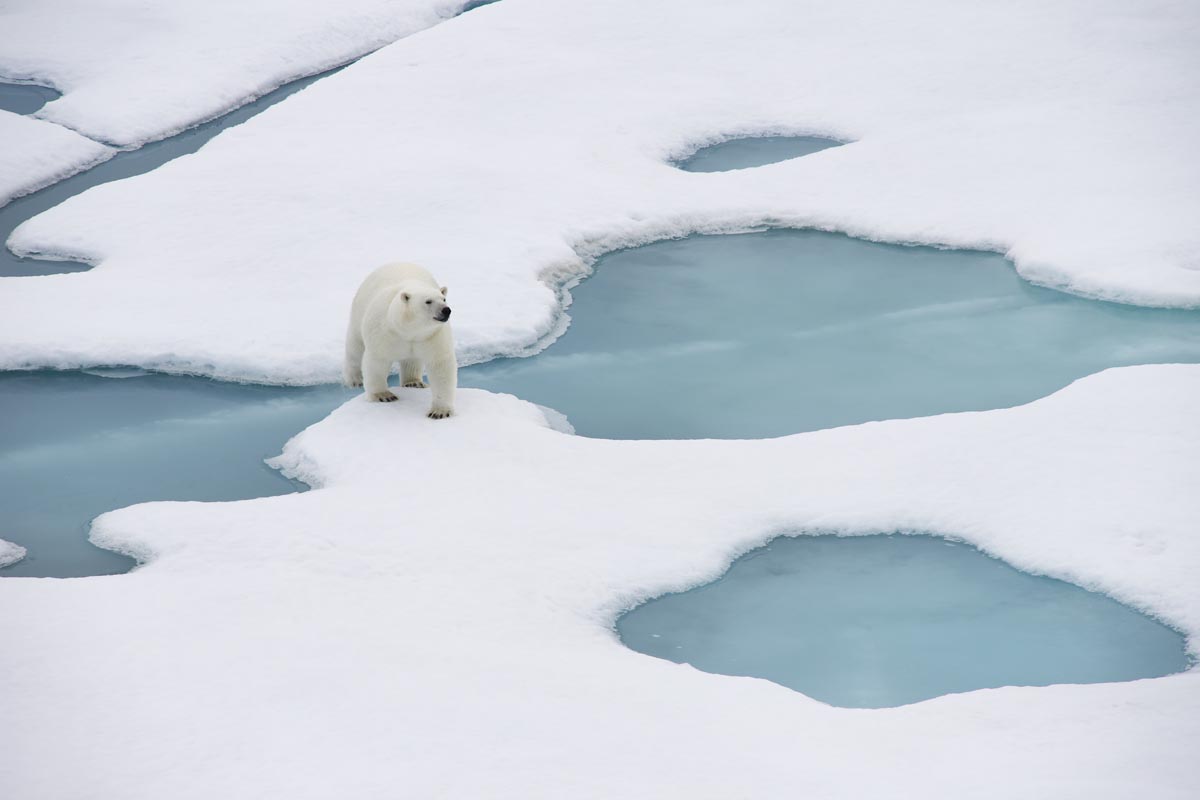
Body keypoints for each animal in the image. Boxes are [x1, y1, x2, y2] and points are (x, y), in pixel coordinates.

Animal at [343, 262, 457, 419]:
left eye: (443, 298)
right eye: (428, 301)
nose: (446, 310)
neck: (408, 330)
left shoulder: (431, 336)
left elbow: (440, 365)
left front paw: (439, 412)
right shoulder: (384, 332)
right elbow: (377, 360)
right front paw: (383, 396)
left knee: (411, 360)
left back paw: (414, 382)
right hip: (358, 310)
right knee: (355, 346)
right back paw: (354, 380)